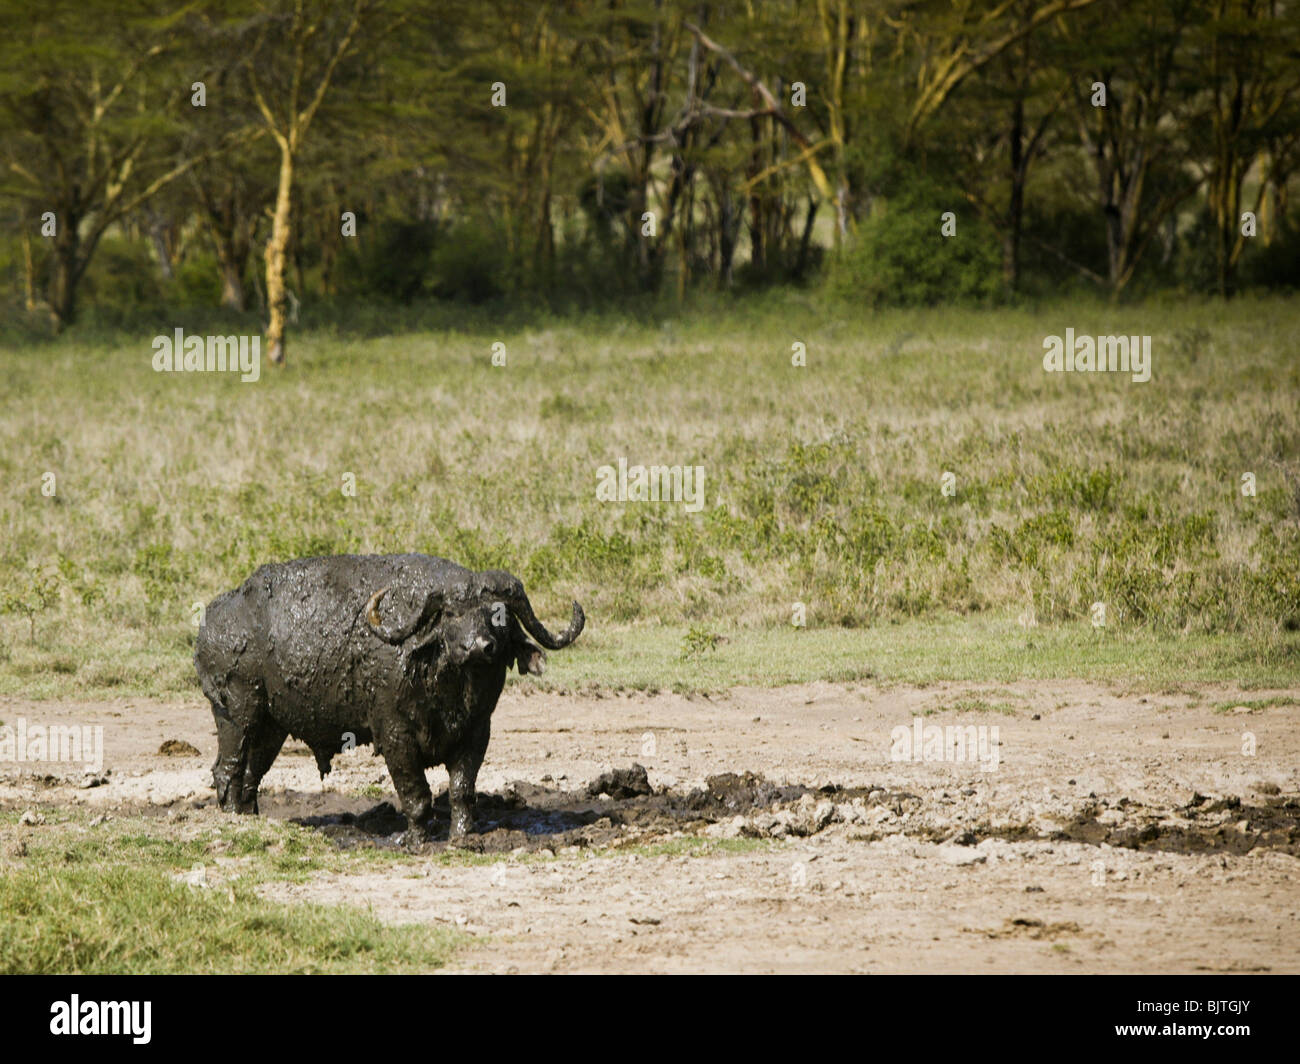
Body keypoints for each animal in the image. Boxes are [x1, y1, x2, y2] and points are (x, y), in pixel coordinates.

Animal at [194, 554, 584, 840]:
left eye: (497, 614)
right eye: (450, 614)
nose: (477, 647)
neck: (448, 689)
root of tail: (212, 619)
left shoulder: (477, 731)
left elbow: (462, 789)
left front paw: (462, 836)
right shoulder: (394, 735)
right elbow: (416, 794)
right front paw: (414, 839)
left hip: (271, 726)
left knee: (250, 774)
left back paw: (253, 820)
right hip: (236, 714)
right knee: (227, 769)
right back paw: (233, 819)